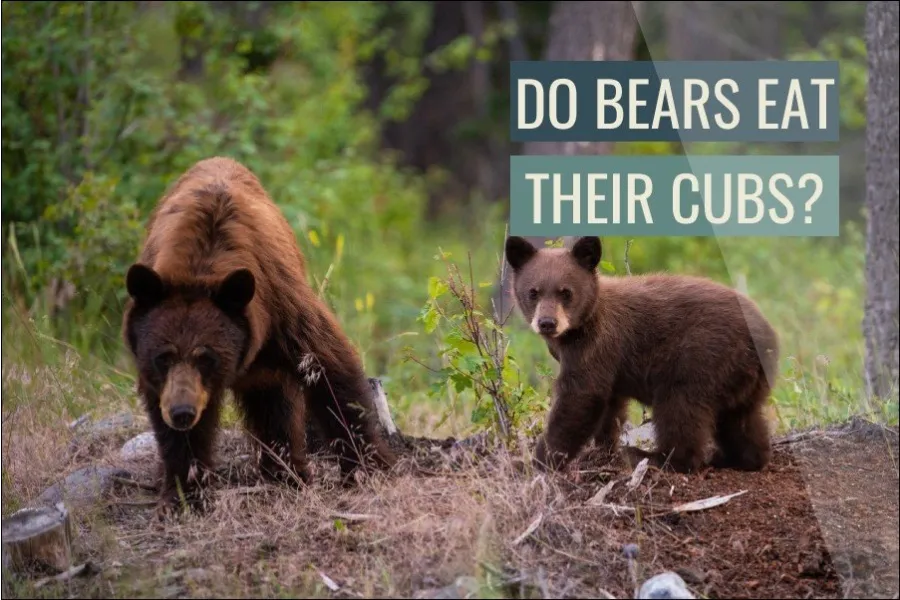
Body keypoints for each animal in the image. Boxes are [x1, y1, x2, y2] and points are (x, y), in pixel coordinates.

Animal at [122, 156, 396, 512]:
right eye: (163, 357)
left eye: (206, 357)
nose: (182, 413)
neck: (200, 266)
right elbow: (174, 432)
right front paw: (185, 493)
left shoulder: (281, 306)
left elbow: (329, 369)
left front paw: (368, 466)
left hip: (268, 364)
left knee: (276, 406)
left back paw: (287, 473)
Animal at [504, 235, 780, 475]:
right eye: (533, 292)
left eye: (566, 292)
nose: (547, 323)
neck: (581, 325)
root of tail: (766, 338)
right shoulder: (608, 364)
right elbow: (609, 406)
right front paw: (602, 449)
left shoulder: (597, 345)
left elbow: (580, 397)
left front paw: (538, 461)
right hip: (744, 377)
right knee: (741, 419)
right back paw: (740, 458)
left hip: (701, 359)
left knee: (680, 410)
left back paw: (654, 457)